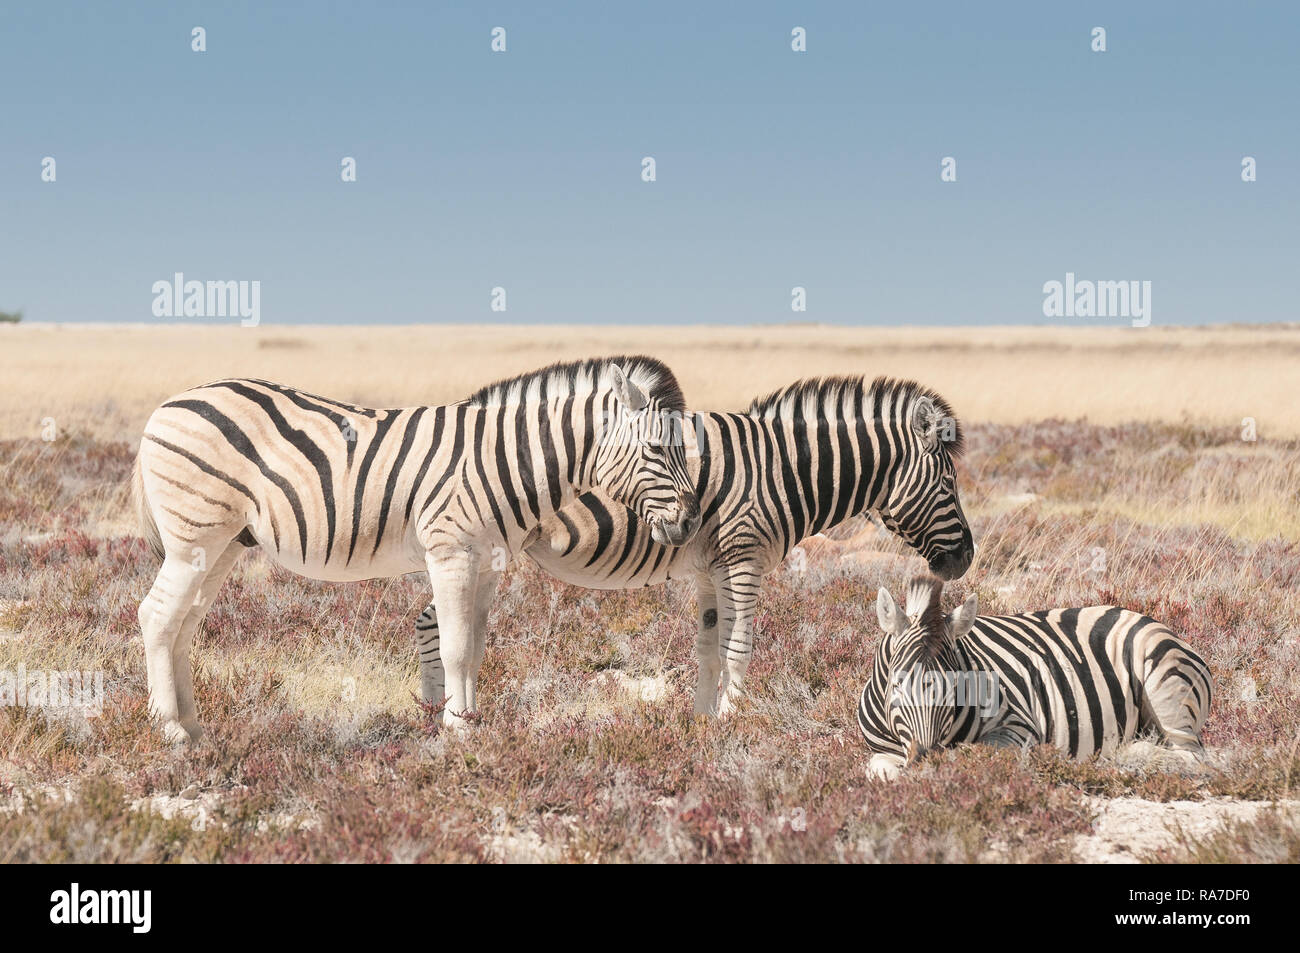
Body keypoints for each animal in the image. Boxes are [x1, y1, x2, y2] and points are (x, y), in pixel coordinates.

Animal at [132, 357, 700, 743]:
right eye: (657, 448)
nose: (692, 522)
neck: (502, 458)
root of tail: (165, 405)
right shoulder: (450, 553)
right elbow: (453, 647)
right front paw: (456, 730)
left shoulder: (488, 563)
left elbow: (474, 648)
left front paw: (471, 724)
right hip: (194, 537)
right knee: (156, 616)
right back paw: (170, 732)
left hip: (222, 544)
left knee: (183, 624)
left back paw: (195, 727)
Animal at [415, 376, 975, 717]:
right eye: (949, 484)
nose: (967, 558)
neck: (779, 469)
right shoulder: (746, 560)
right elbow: (740, 646)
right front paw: (737, 719)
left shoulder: (712, 570)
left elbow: (709, 649)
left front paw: (703, 721)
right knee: (436, 621)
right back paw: (446, 713)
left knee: (430, 620)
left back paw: (437, 710)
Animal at [858, 574, 1212, 779]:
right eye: (897, 685)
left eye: (957, 689)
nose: (925, 763)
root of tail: (1145, 617)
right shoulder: (882, 750)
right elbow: (879, 771)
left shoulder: (1018, 726)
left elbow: (970, 754)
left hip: (1164, 685)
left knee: (1193, 757)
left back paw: (1118, 757)